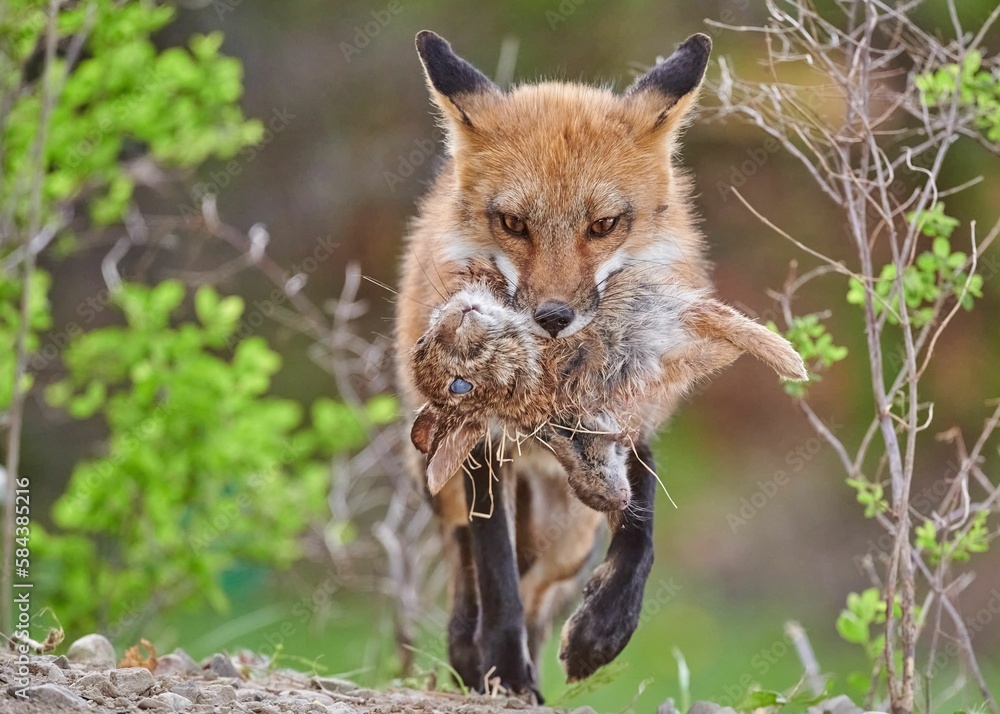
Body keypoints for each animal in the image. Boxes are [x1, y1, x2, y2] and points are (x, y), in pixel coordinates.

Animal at [394, 30, 799, 700]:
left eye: (604, 225)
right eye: (513, 223)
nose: (554, 318)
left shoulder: (629, 417)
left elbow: (641, 528)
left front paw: (602, 632)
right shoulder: (481, 443)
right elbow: (495, 572)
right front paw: (505, 670)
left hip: (567, 534)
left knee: (539, 589)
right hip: (452, 479)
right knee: (471, 567)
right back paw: (474, 655)